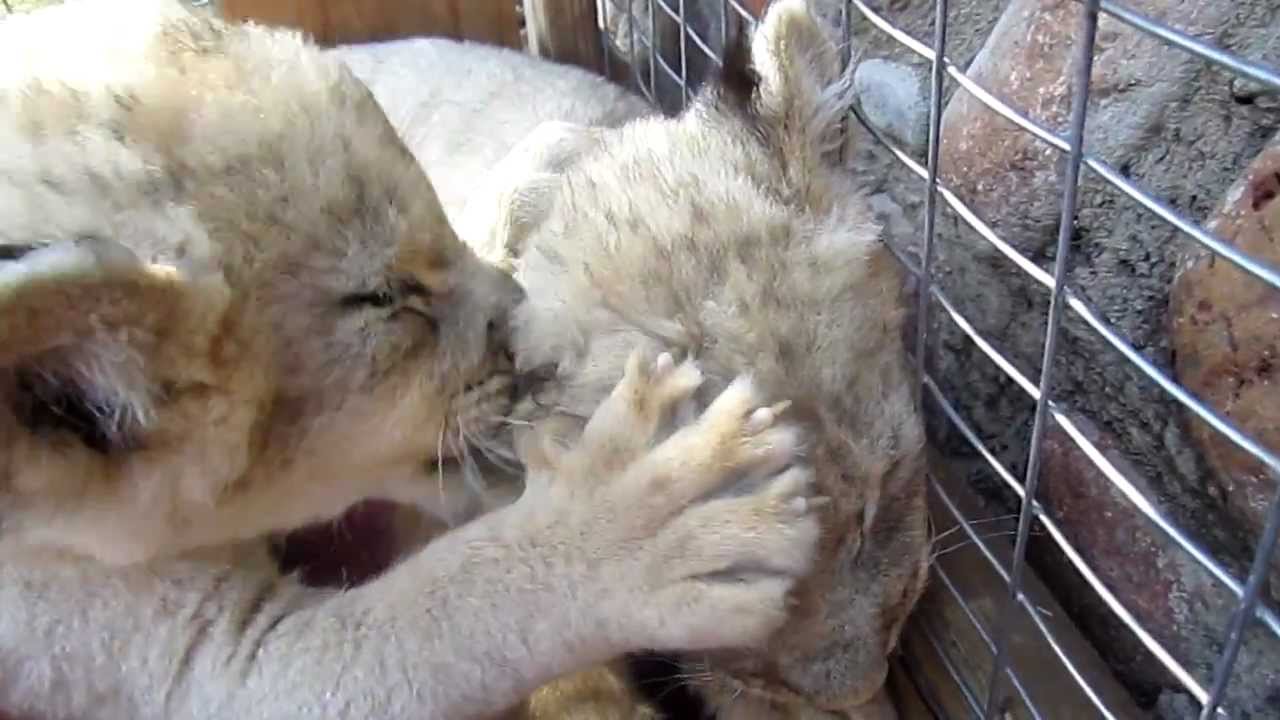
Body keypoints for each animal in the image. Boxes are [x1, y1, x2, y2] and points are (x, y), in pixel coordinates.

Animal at [0, 2, 824, 718]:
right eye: (387, 299)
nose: (521, 327)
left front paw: (547, 169)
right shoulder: (197, 663)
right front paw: (657, 519)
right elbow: (432, 615)